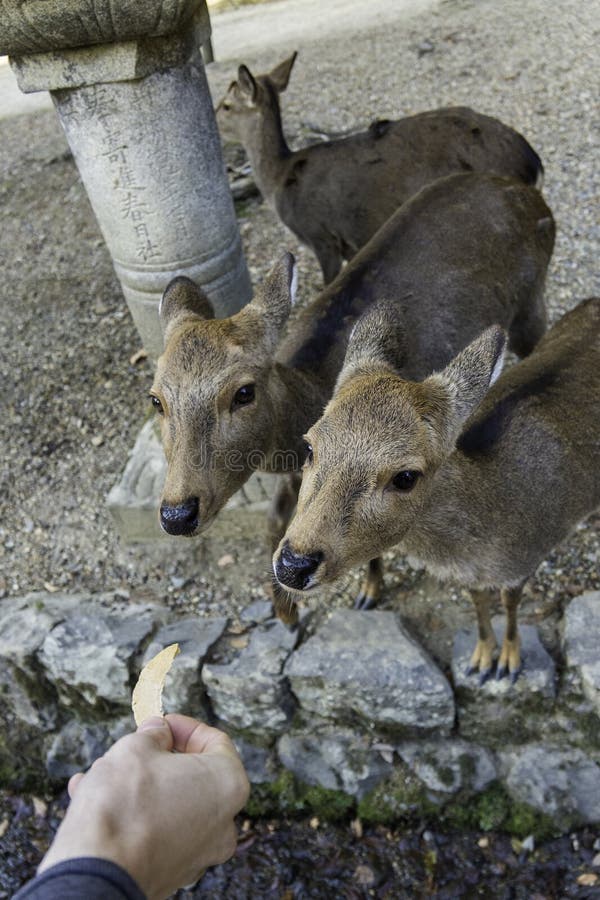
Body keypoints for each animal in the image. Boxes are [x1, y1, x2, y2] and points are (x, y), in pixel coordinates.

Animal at [150, 172, 554, 622]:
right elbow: (276, 521)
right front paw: (288, 614)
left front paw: (368, 591)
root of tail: (527, 191)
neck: (313, 386)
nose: (177, 514)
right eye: (155, 399)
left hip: (532, 305)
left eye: (244, 392)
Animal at [273, 298, 600, 682]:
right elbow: (477, 598)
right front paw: (480, 660)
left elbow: (510, 603)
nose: (294, 565)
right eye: (309, 446)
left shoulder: (524, 560)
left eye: (406, 476)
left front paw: (508, 663)